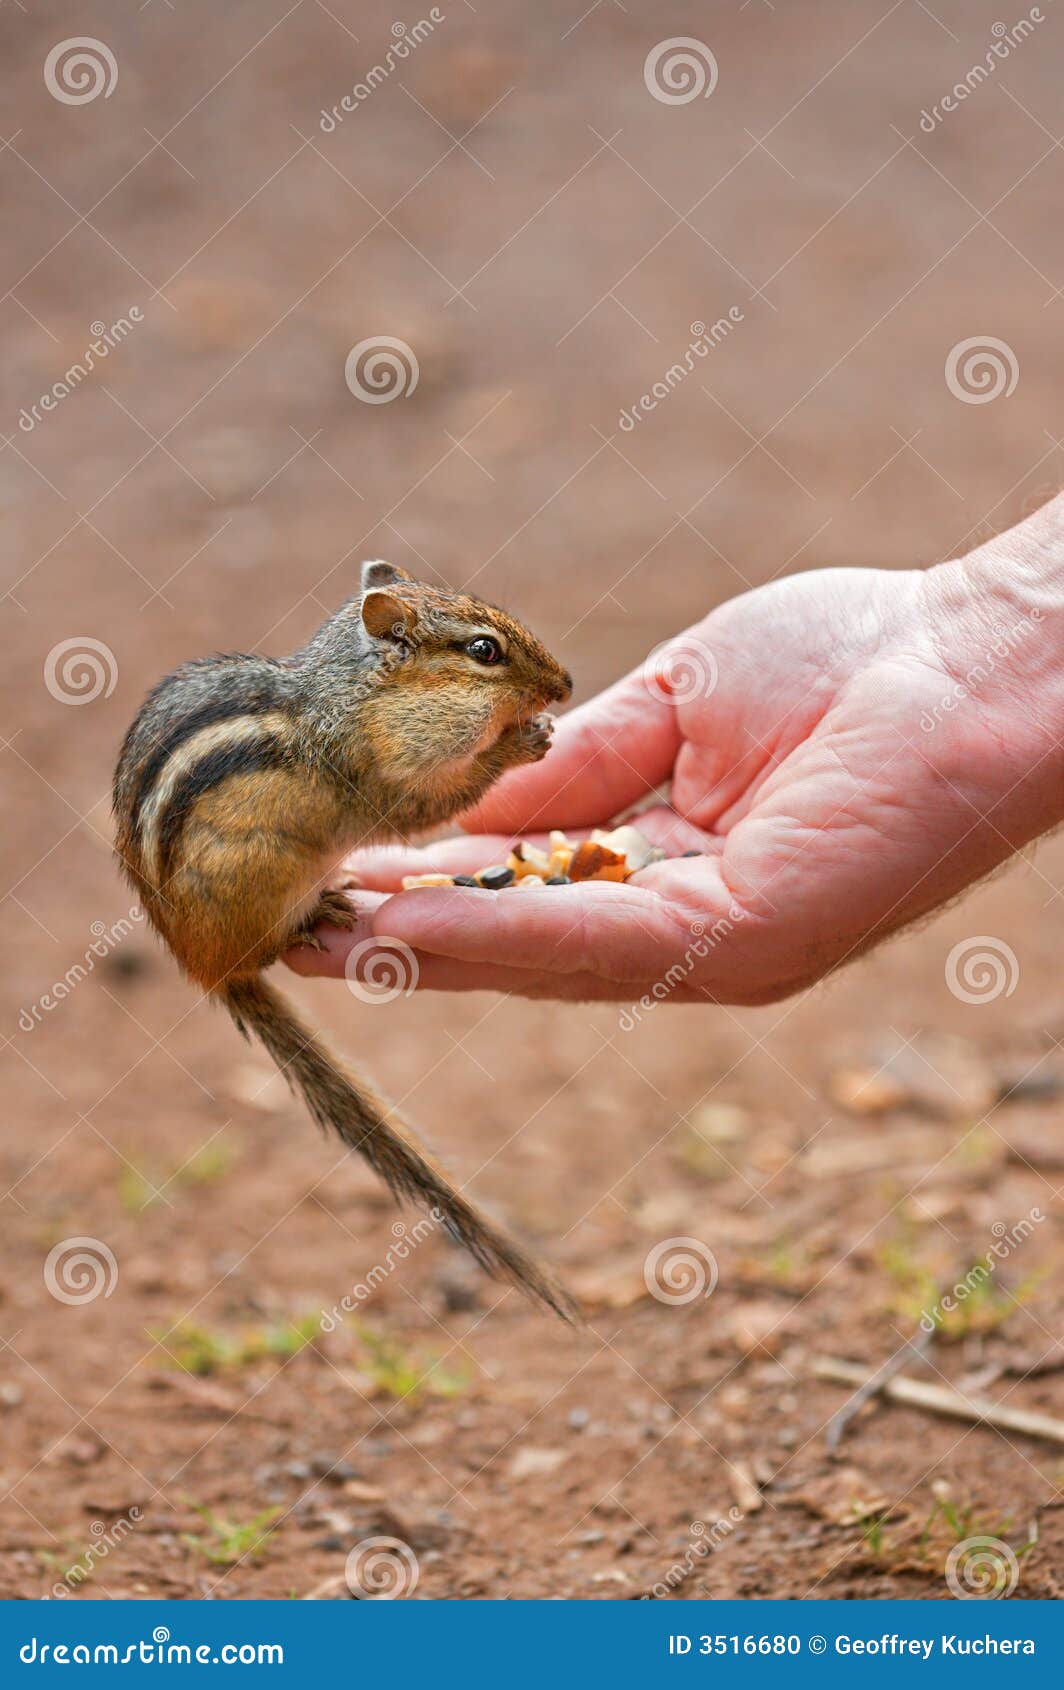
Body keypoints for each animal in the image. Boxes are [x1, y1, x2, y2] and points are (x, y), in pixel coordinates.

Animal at [112, 560, 578, 1322]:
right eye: (485, 652)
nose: (565, 686)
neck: (358, 696)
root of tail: (205, 966)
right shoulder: (382, 773)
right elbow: (428, 805)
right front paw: (524, 740)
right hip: (263, 878)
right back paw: (317, 914)